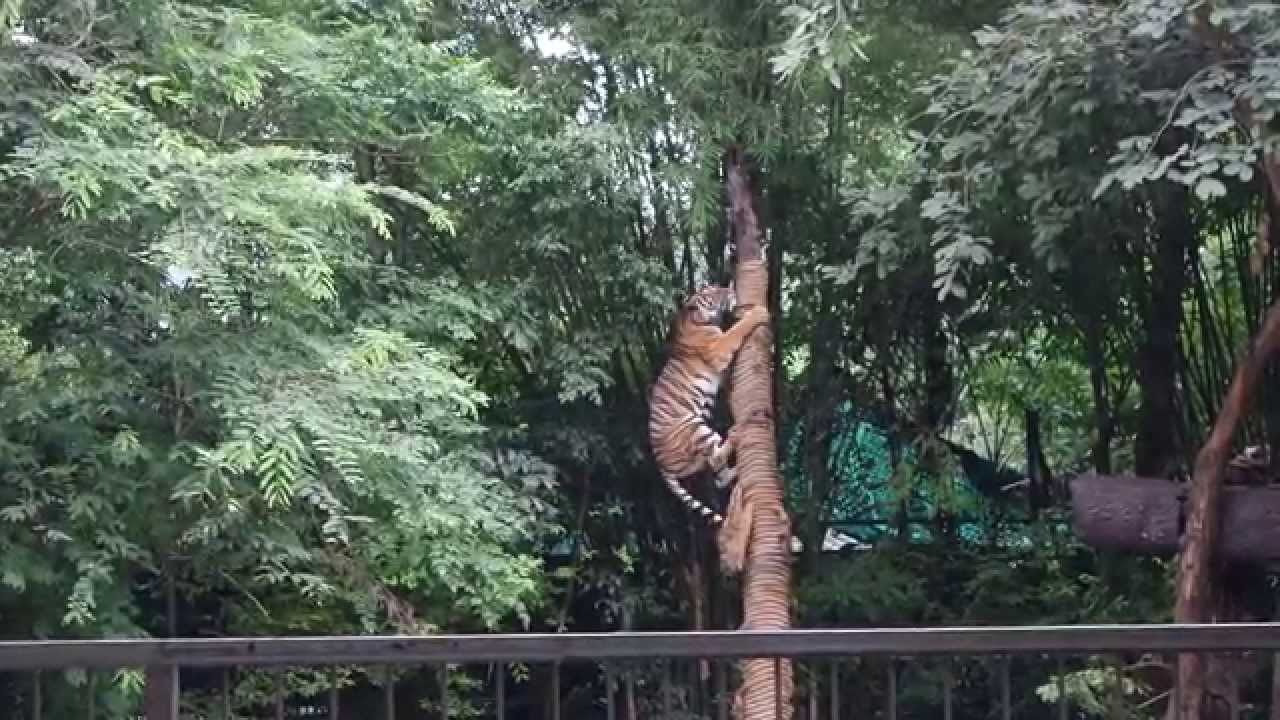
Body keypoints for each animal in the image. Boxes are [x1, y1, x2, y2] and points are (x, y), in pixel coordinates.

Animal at [648, 283, 770, 525]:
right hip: (693, 426)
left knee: (718, 477)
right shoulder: (719, 347)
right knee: (715, 459)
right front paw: (759, 313)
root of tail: (660, 465)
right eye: (712, 294)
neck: (695, 320)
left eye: (716, 287)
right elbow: (736, 330)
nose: (730, 289)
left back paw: (736, 468)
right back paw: (735, 434)